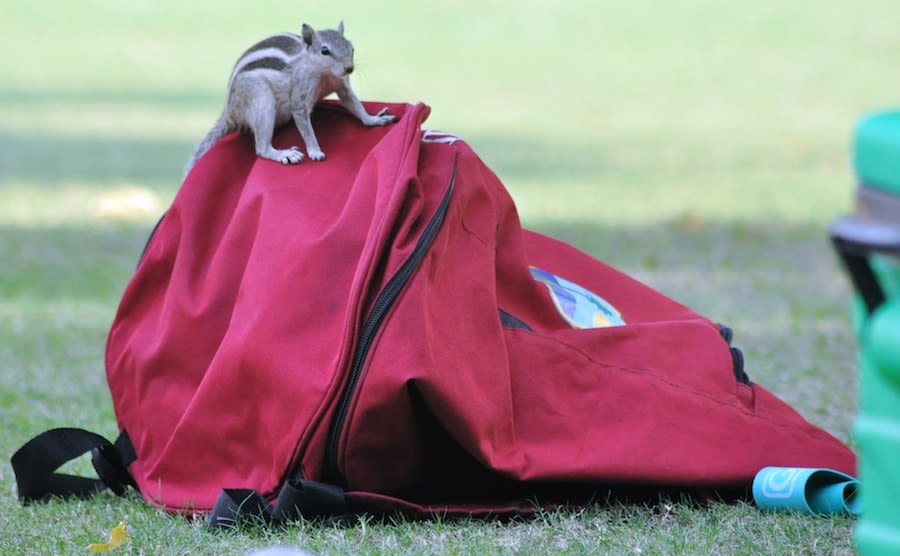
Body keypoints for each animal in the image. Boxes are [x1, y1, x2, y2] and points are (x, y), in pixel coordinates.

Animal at [185, 21, 396, 175]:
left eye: (352, 47)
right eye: (325, 50)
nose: (349, 68)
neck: (324, 74)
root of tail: (230, 110)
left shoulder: (341, 85)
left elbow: (353, 104)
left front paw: (373, 119)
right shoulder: (300, 95)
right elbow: (304, 125)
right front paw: (315, 150)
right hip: (260, 99)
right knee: (261, 148)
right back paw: (283, 154)